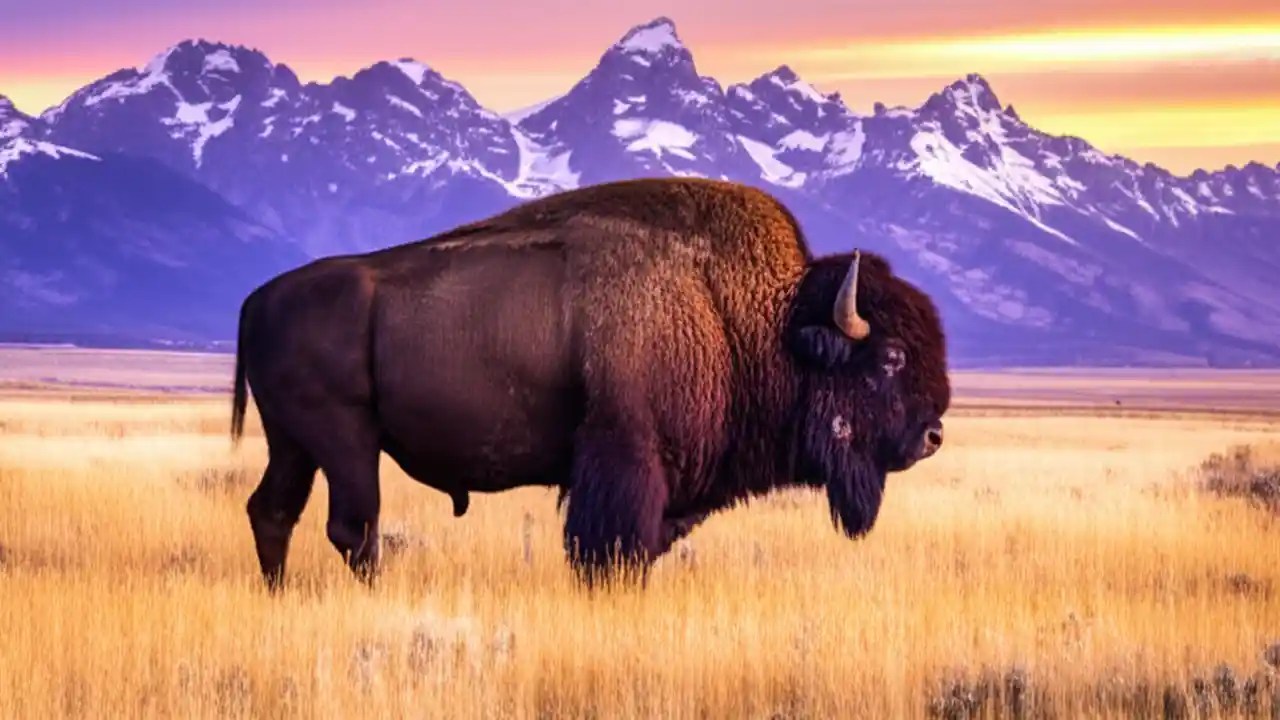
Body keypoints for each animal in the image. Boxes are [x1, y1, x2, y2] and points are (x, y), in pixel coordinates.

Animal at [230, 177, 950, 590]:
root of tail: (257, 300)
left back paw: (278, 595)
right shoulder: (624, 458)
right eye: (889, 356)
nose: (932, 435)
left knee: (273, 511)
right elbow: (608, 548)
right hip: (346, 441)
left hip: (293, 442)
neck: (746, 319)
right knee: (355, 527)